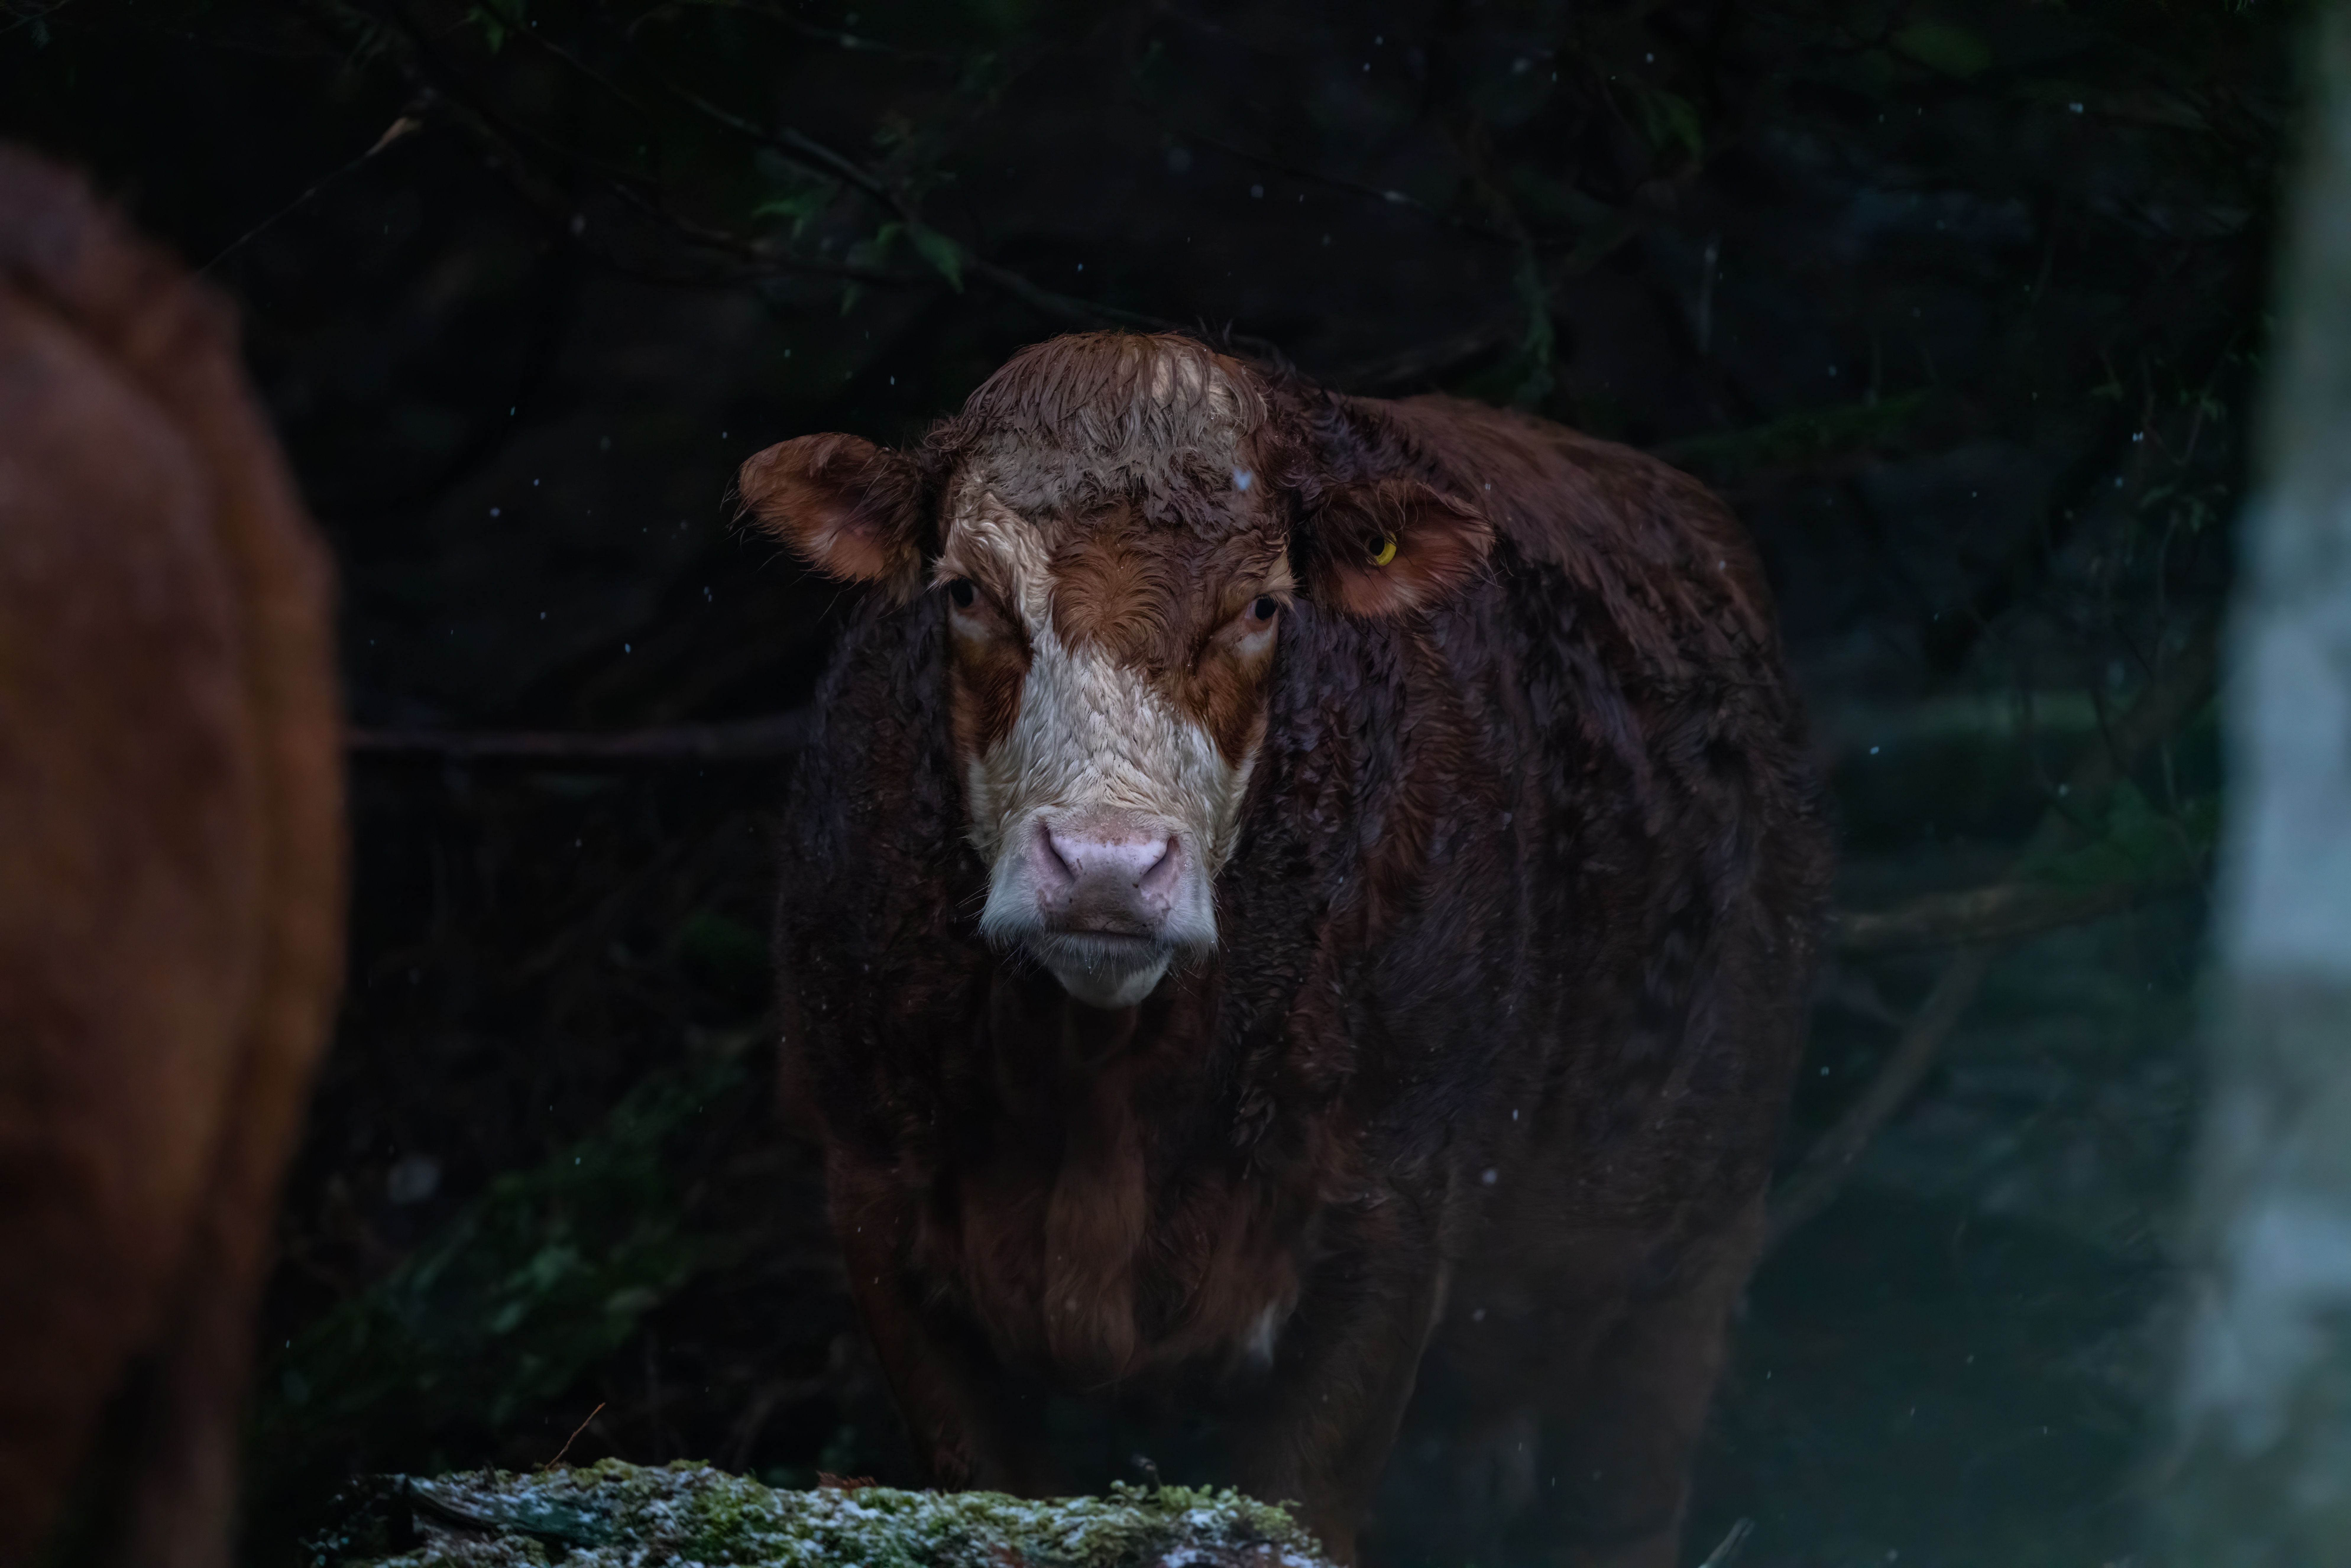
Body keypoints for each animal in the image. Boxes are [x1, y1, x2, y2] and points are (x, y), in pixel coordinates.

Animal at [740, 331, 1830, 1568]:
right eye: (965, 589)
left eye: (1262, 606)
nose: (1107, 864)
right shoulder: (872, 1188)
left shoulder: (1390, 1206)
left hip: (1691, 1251)